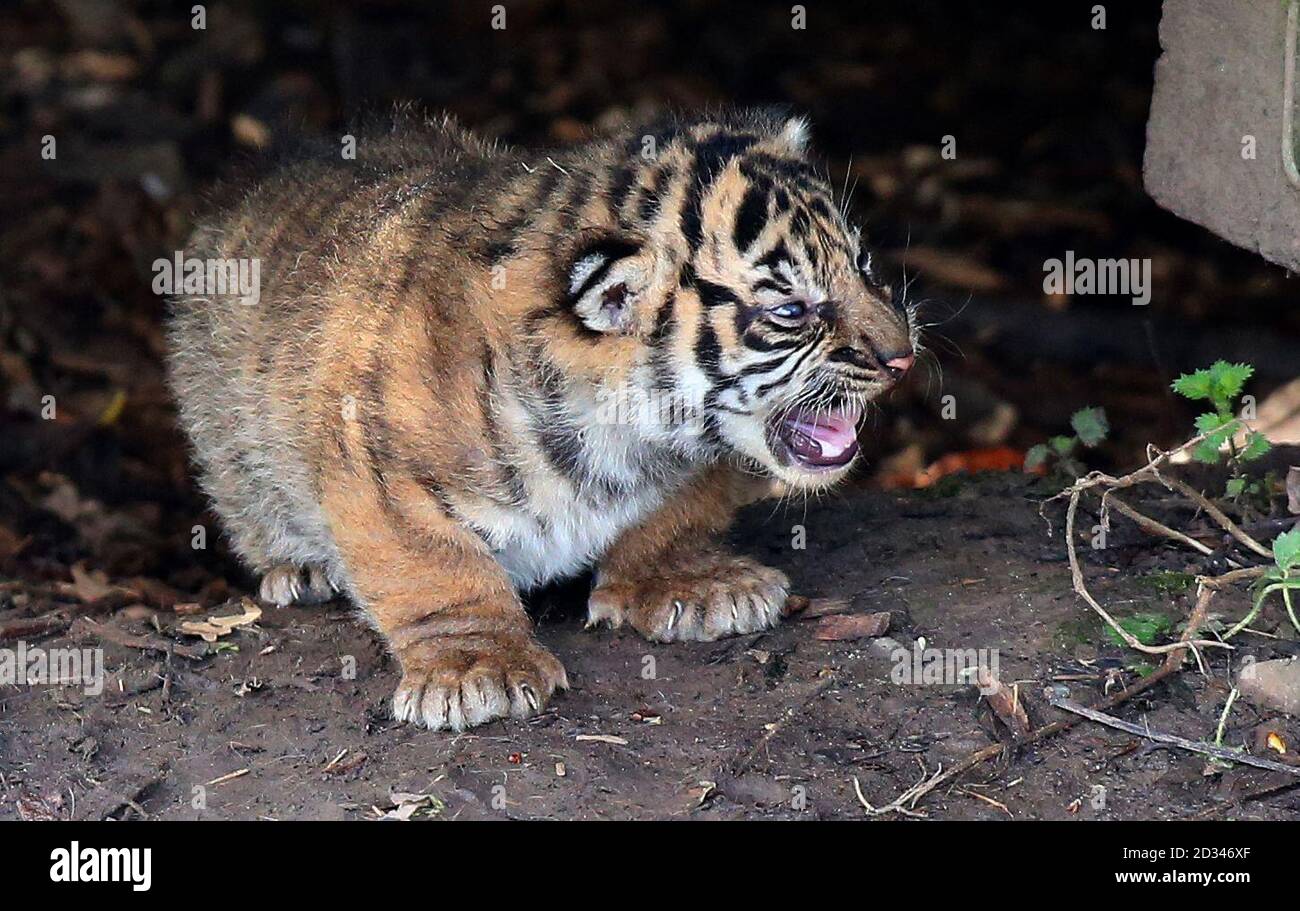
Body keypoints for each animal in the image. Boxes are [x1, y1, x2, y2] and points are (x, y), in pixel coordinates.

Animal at [166, 108, 917, 731]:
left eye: (863, 264)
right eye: (791, 310)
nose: (903, 356)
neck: (624, 432)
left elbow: (671, 517)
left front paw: (688, 583)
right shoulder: (372, 457)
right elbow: (433, 565)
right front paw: (475, 666)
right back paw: (297, 569)